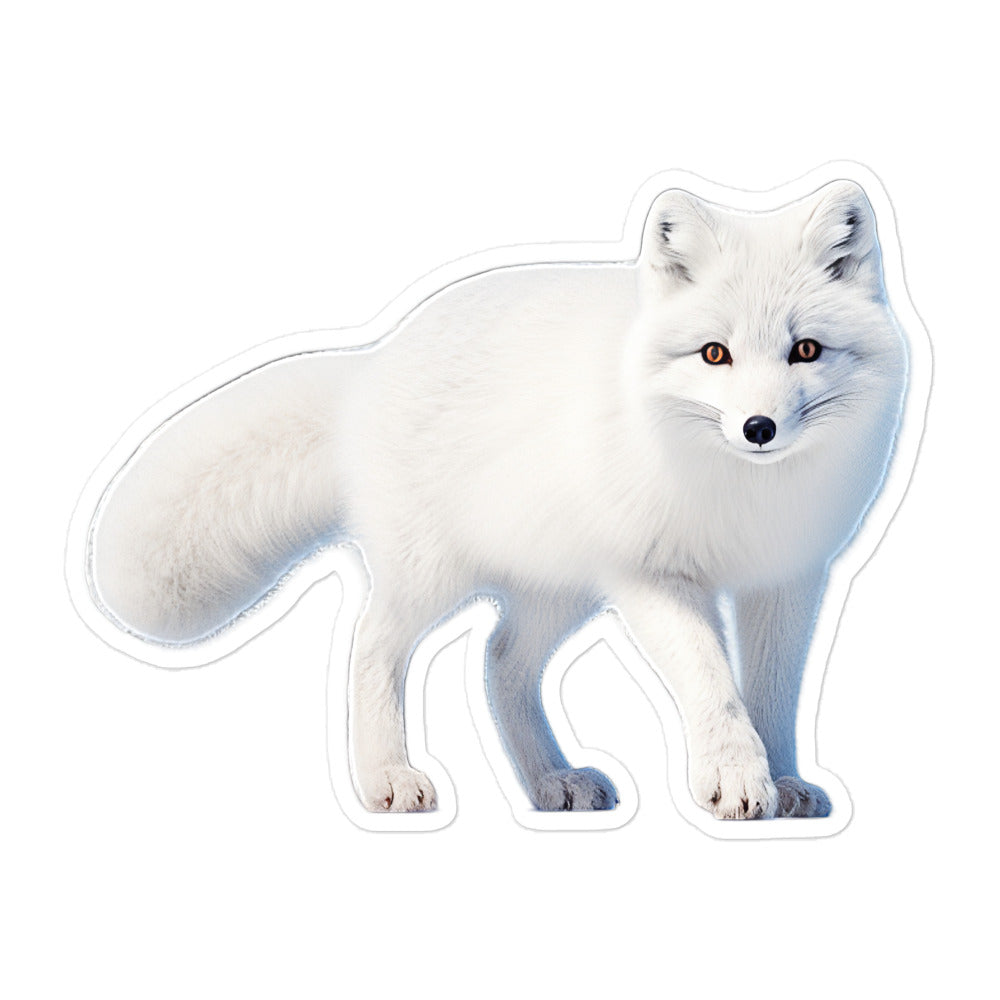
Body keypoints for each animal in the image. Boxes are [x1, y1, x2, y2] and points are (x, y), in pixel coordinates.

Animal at [80, 177, 908, 822]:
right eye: (715, 354)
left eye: (805, 350)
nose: (758, 428)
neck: (741, 490)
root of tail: (371, 369)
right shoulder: (654, 575)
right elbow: (715, 683)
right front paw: (736, 778)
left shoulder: (788, 579)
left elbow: (772, 692)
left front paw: (786, 780)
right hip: (436, 574)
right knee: (372, 644)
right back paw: (387, 778)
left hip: (559, 589)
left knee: (500, 657)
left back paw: (550, 782)